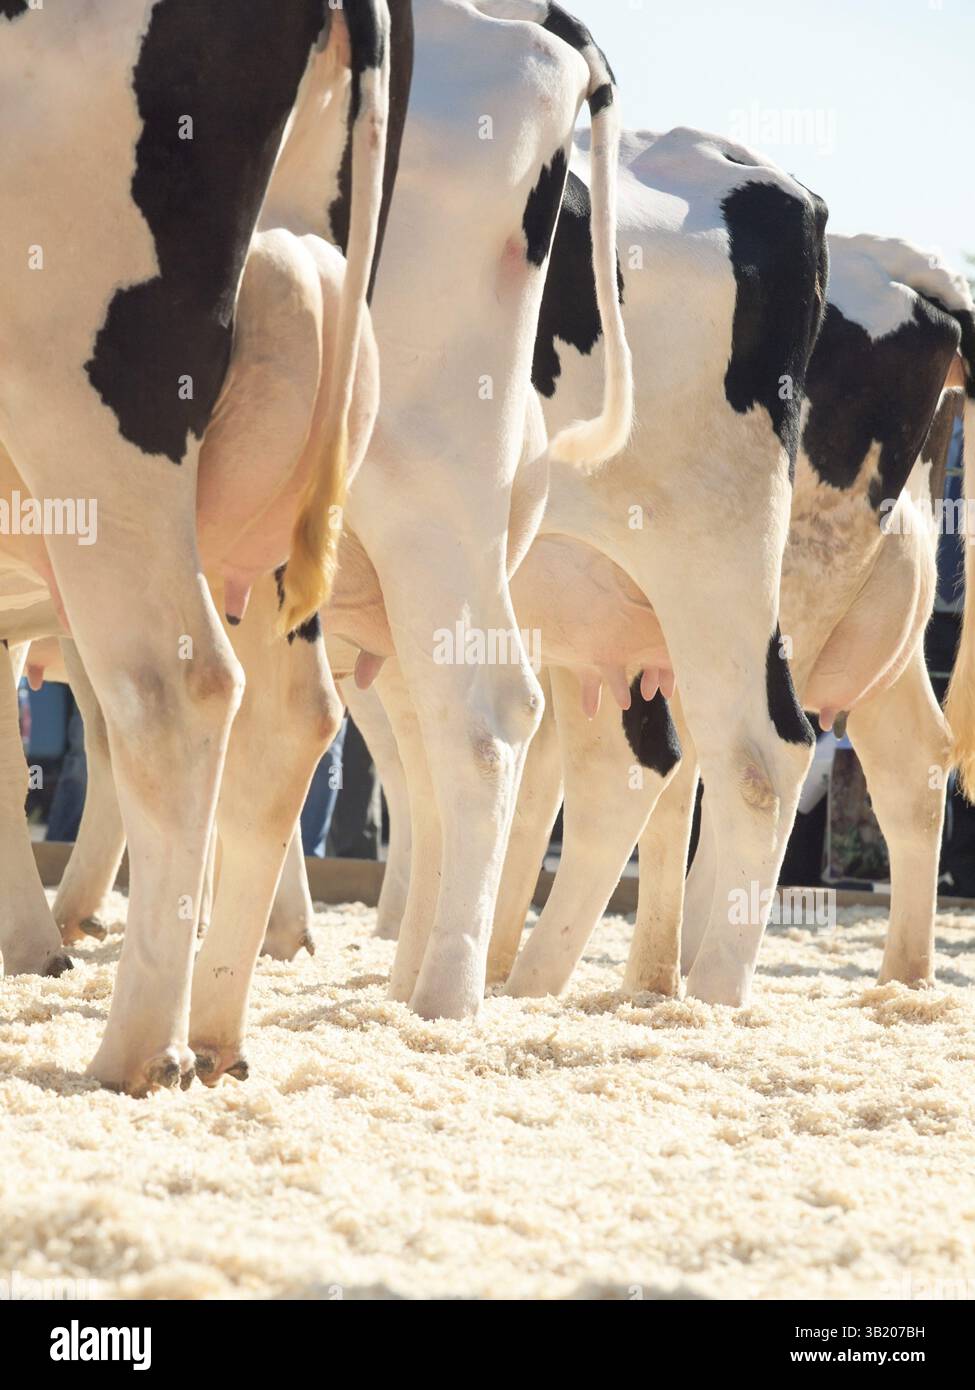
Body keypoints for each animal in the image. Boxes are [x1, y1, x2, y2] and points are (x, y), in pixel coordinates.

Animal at [0, 0, 408, 1094]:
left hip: (86, 410)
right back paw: (217, 1030)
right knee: (286, 723)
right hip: (278, 523)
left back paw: (137, 1050)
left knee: (174, 696)